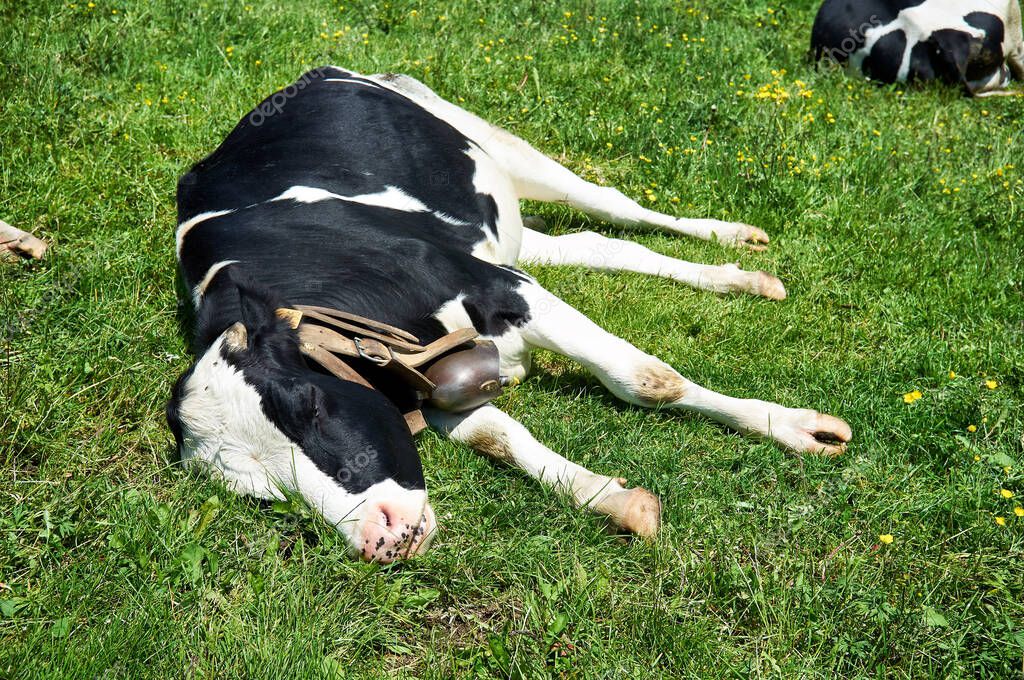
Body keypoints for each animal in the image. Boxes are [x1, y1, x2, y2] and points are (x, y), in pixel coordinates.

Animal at [167, 67, 852, 563]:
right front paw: (610, 499)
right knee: (597, 244)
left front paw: (792, 428)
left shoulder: (498, 285)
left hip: (496, 146)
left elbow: (646, 380)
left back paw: (735, 243)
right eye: (260, 493)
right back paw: (739, 278)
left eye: (305, 404)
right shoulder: (426, 380)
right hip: (506, 230)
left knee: (617, 208)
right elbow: (500, 437)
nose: (378, 539)